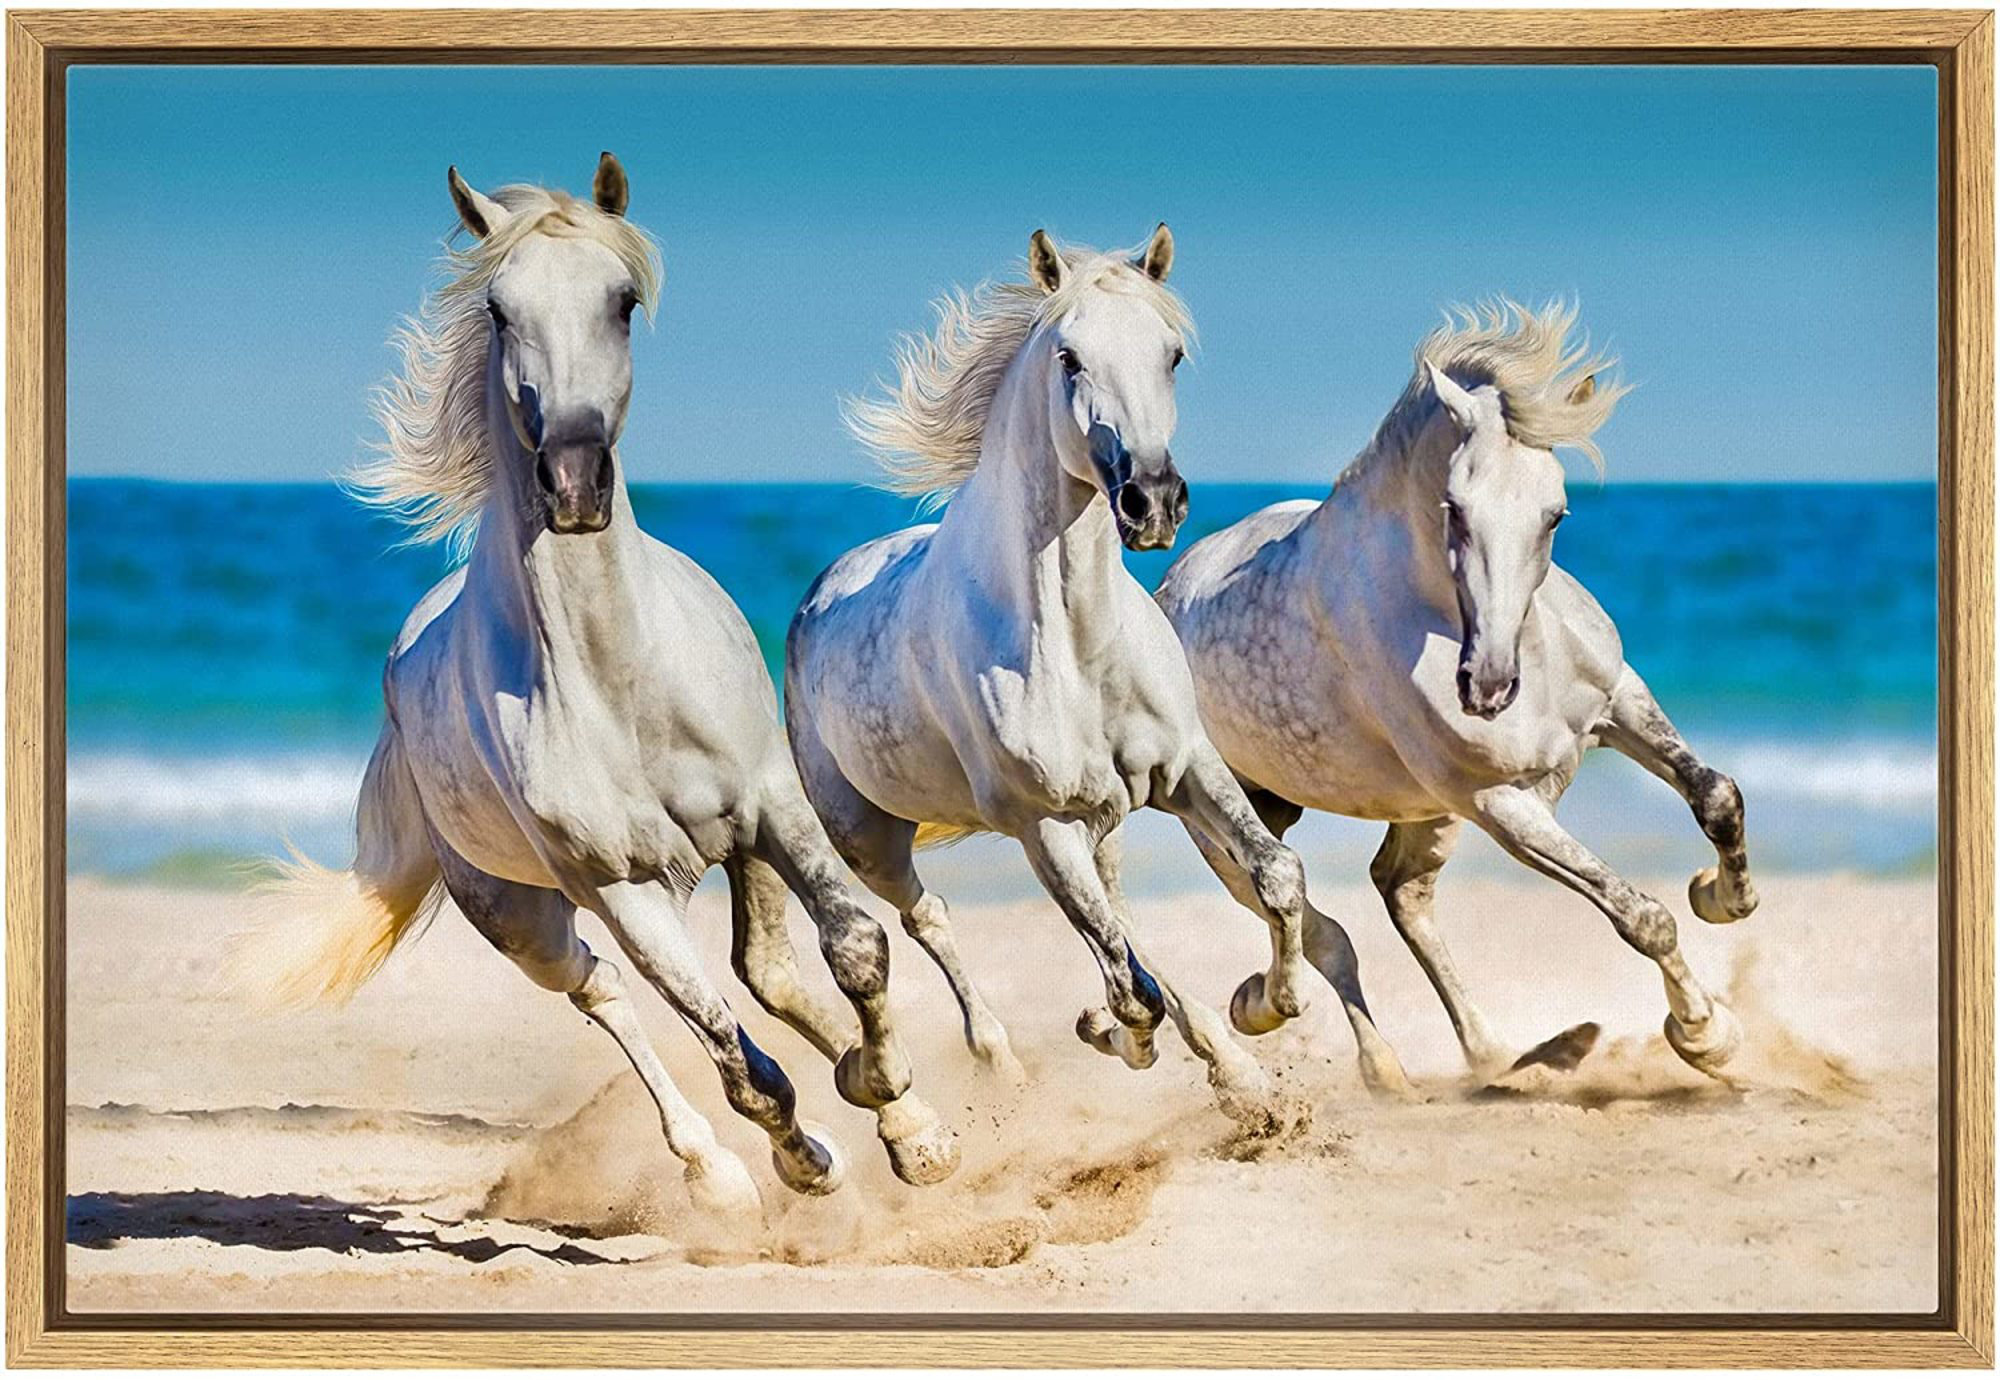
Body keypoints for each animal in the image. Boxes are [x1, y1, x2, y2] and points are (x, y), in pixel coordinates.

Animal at [233, 155, 958, 1214]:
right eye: (498, 309)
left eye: (622, 301)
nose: (574, 482)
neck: (622, 681)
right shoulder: (621, 886)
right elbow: (735, 1058)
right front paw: (805, 1159)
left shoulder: (772, 805)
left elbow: (855, 947)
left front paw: (912, 1128)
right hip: (521, 914)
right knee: (602, 989)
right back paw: (717, 1172)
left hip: (733, 850)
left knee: (766, 971)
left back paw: (872, 1092)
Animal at [784, 227, 1417, 1127]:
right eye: (1070, 357)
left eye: (1172, 353)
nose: (1152, 500)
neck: (1076, 645)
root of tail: (819, 592)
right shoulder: (1041, 824)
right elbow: (1130, 986)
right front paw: (1133, 1032)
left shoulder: (1188, 768)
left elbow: (1275, 878)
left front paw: (1261, 1005)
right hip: (871, 837)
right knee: (929, 917)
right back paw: (999, 1062)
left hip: (1102, 820)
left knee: (1112, 917)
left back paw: (1225, 1063)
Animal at [1154, 301, 1757, 1083]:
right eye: (1454, 507)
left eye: (1556, 514)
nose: (1489, 687)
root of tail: (1167, 592)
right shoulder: (1497, 801)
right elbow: (1640, 916)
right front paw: (1707, 1035)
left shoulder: (1619, 703)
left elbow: (1716, 796)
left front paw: (1721, 897)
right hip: (1224, 818)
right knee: (1317, 927)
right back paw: (1319, 1037)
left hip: (1399, 810)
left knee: (1401, 892)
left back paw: (1496, 1053)